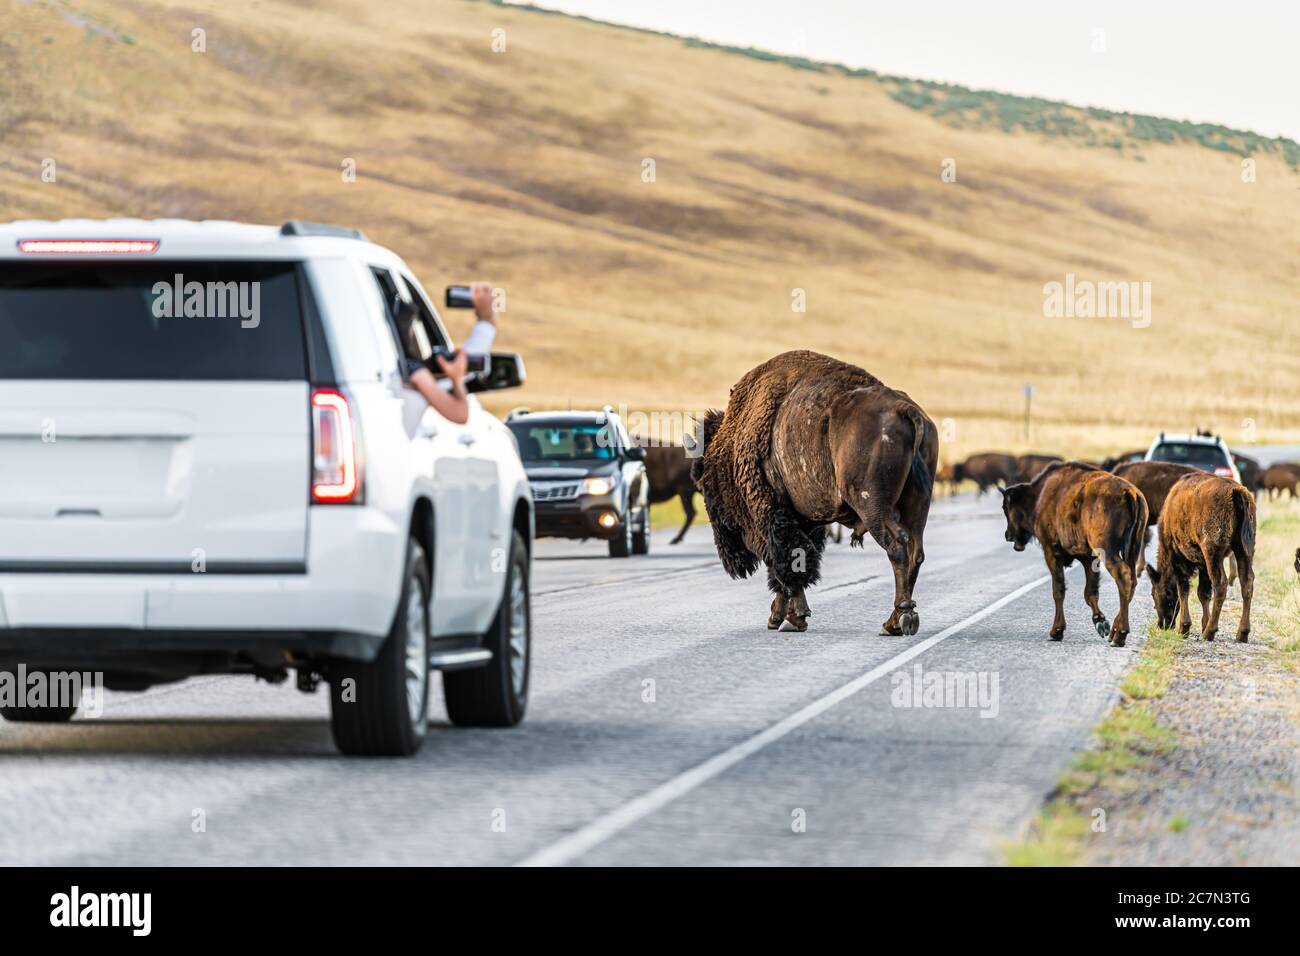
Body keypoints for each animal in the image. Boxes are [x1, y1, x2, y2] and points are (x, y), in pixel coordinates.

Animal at [693, 350, 937, 635]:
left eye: (703, 484)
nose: (729, 555)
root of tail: (905, 410)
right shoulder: (803, 520)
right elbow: (793, 564)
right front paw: (784, 617)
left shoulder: (773, 518)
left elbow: (787, 565)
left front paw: (791, 618)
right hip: (917, 507)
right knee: (916, 552)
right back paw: (898, 618)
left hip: (873, 507)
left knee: (897, 547)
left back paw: (898, 620)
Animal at [999, 461, 1147, 647]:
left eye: (1006, 507)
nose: (1008, 535)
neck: (1038, 497)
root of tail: (1130, 492)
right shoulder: (1088, 557)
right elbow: (1090, 592)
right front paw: (1100, 623)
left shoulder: (1051, 551)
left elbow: (1058, 590)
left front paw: (1056, 632)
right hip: (1133, 549)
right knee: (1132, 582)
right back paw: (1113, 632)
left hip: (1108, 551)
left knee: (1123, 578)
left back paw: (1119, 635)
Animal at [1145, 472, 1255, 643]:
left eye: (1154, 593)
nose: (1162, 624)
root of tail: (1237, 492)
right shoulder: (1202, 564)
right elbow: (1203, 593)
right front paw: (1203, 623)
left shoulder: (1177, 556)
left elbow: (1184, 589)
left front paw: (1184, 627)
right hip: (1244, 549)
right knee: (1247, 583)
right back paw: (1241, 634)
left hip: (1213, 551)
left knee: (1220, 583)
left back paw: (1210, 632)